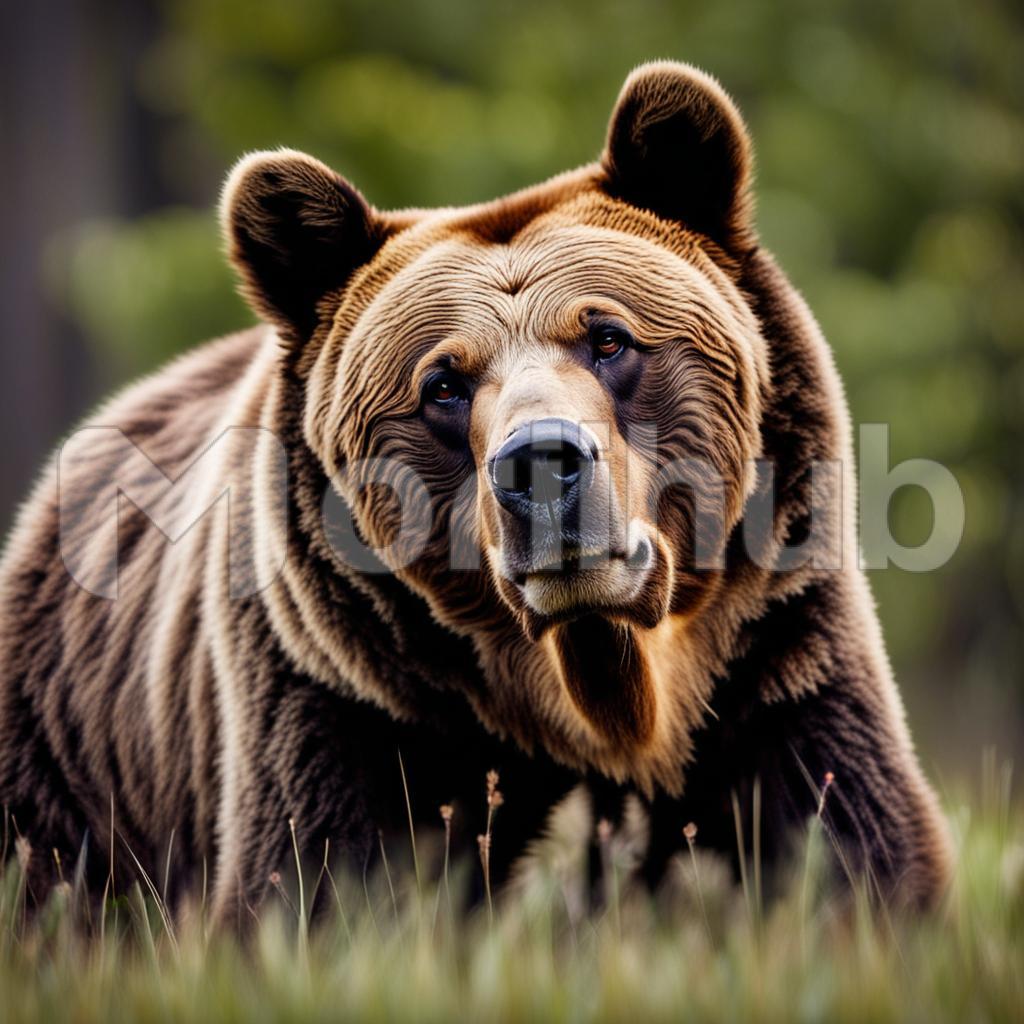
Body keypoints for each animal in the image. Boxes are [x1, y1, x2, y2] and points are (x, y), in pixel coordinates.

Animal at [0, 62, 951, 922]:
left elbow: (852, 842)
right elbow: (315, 885)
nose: (540, 462)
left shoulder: (770, 664)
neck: (600, 695)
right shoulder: (349, 704)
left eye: (609, 338)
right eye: (443, 385)